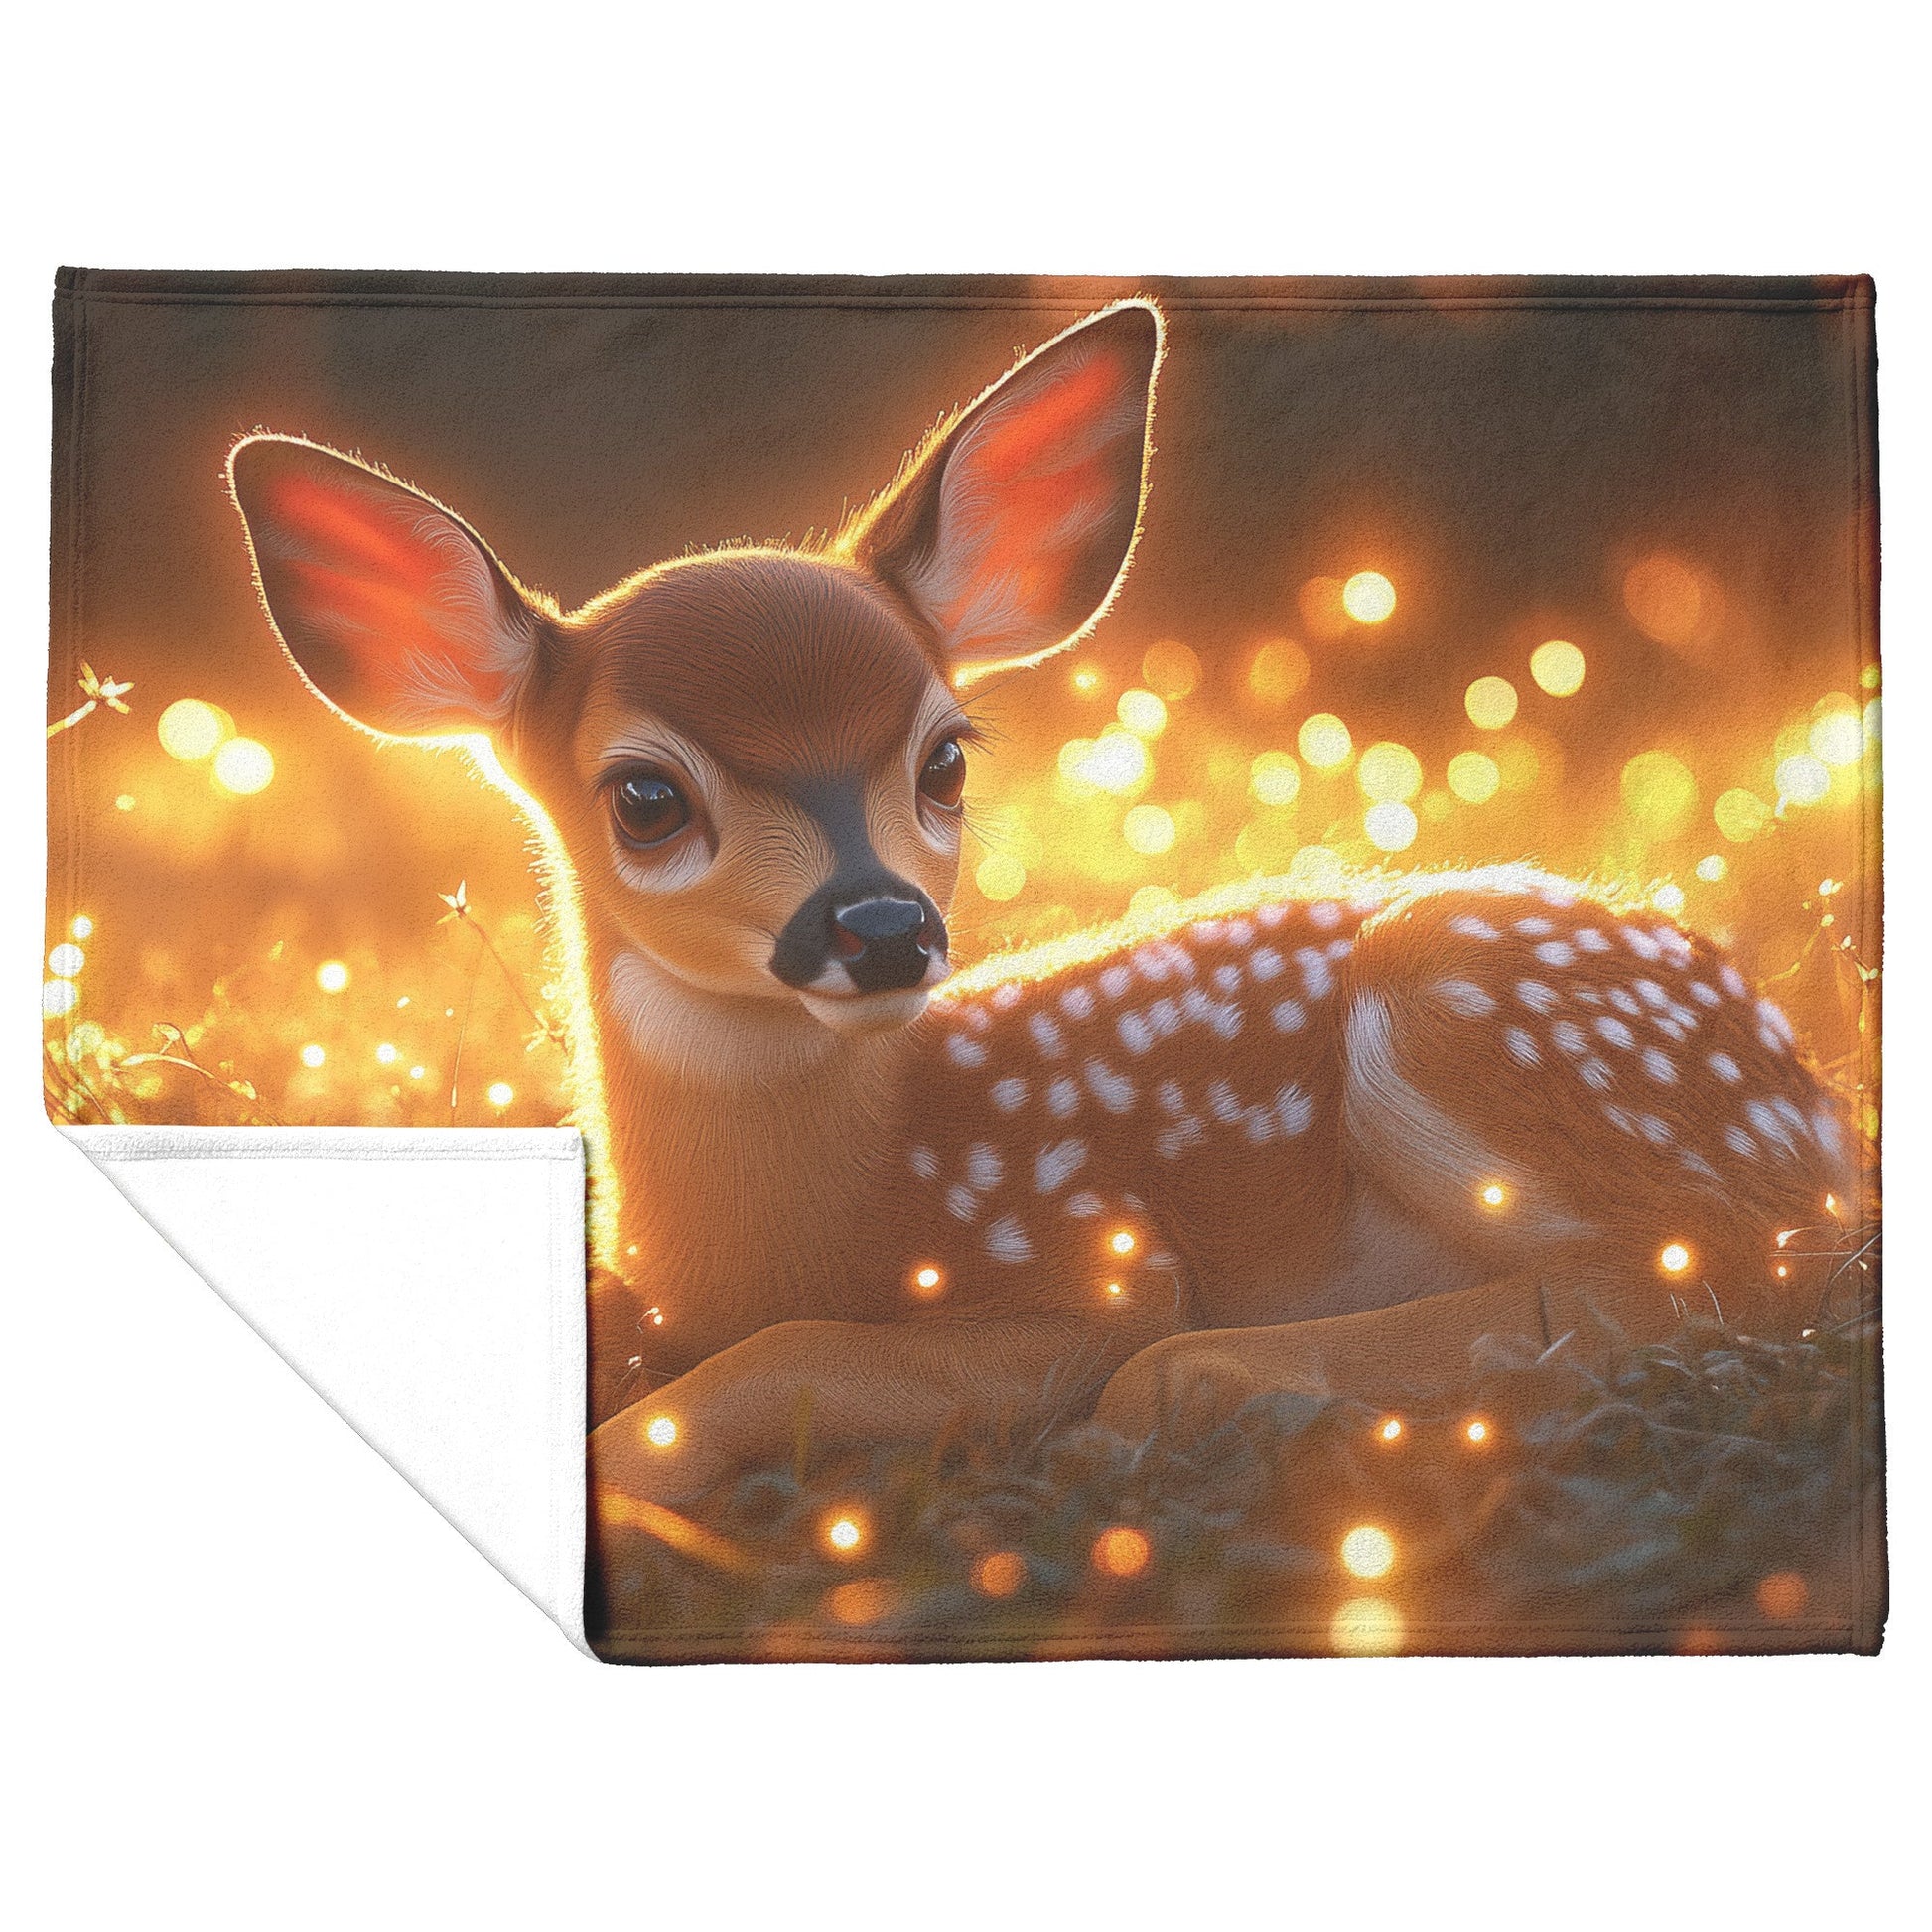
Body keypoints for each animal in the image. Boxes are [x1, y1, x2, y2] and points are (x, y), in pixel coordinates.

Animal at [226, 298, 1857, 1512]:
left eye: (945, 754)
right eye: (643, 796)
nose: (884, 930)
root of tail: (1814, 1109)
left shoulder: (1084, 1250)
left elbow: (801, 1355)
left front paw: (617, 1468)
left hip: (1464, 1006)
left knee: (1697, 1273)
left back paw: (1194, 1393)